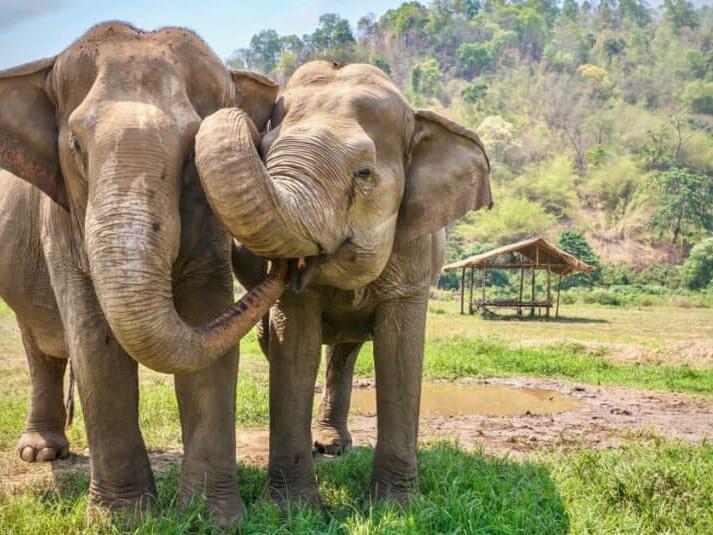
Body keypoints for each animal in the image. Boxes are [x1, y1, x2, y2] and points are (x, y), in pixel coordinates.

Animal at [0, 22, 287, 528]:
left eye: (192, 154)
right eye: (76, 146)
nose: (288, 265)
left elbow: (207, 326)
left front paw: (214, 519)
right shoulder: (61, 221)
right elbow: (95, 345)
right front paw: (121, 521)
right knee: (40, 345)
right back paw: (40, 454)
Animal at [194, 60, 492, 506]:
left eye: (364, 173)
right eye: (264, 152)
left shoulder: (415, 256)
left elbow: (400, 354)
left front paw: (396, 505)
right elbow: (294, 348)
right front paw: (290, 508)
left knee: (345, 352)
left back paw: (334, 445)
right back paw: (323, 447)